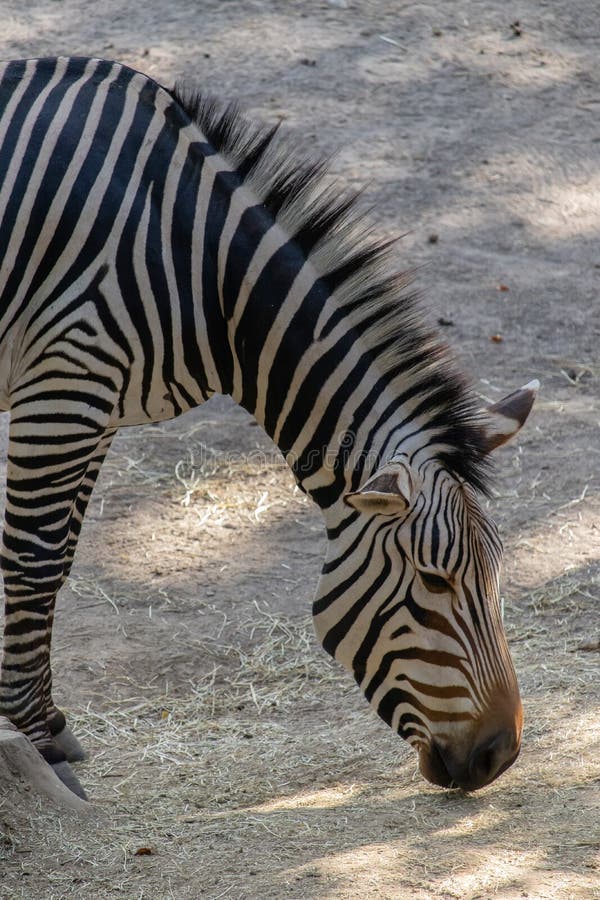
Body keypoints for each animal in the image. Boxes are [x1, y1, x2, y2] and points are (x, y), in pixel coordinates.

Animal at [0, 56, 537, 800]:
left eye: (495, 575)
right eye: (434, 584)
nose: (501, 757)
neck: (200, 268)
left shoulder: (97, 405)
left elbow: (63, 555)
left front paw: (42, 723)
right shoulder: (64, 382)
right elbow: (35, 559)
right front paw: (38, 741)